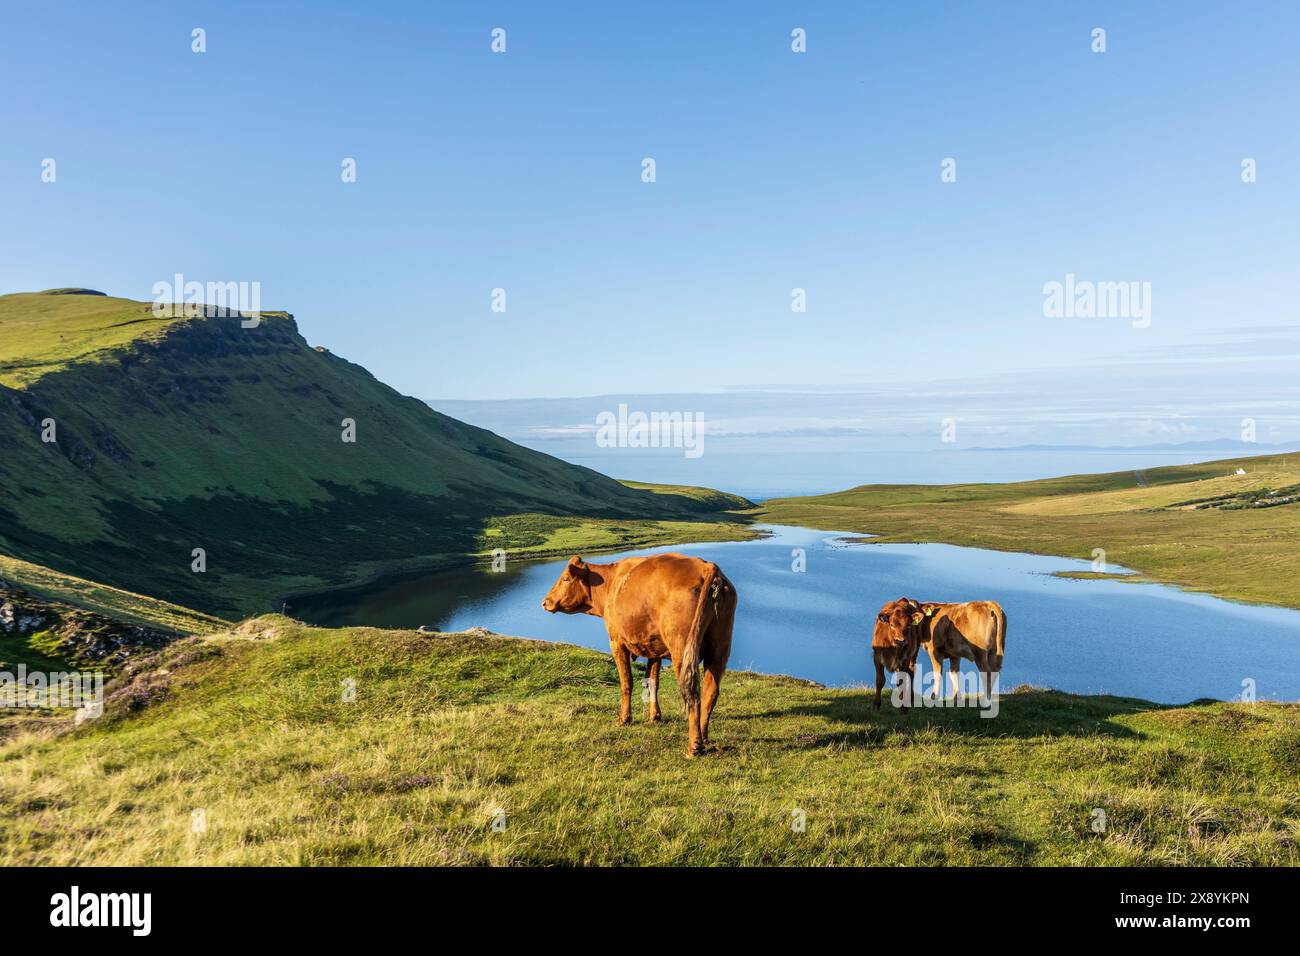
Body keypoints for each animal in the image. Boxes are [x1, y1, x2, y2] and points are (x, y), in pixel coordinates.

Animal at [542, 553, 737, 758]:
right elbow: (652, 681)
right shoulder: (654, 647)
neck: (610, 584)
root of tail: (707, 567)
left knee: (692, 691)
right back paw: (704, 737)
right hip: (719, 649)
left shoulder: (616, 641)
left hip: (682, 650)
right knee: (711, 691)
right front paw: (654, 717)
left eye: (565, 578)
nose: (545, 602)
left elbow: (626, 682)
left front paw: (624, 719)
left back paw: (694, 746)